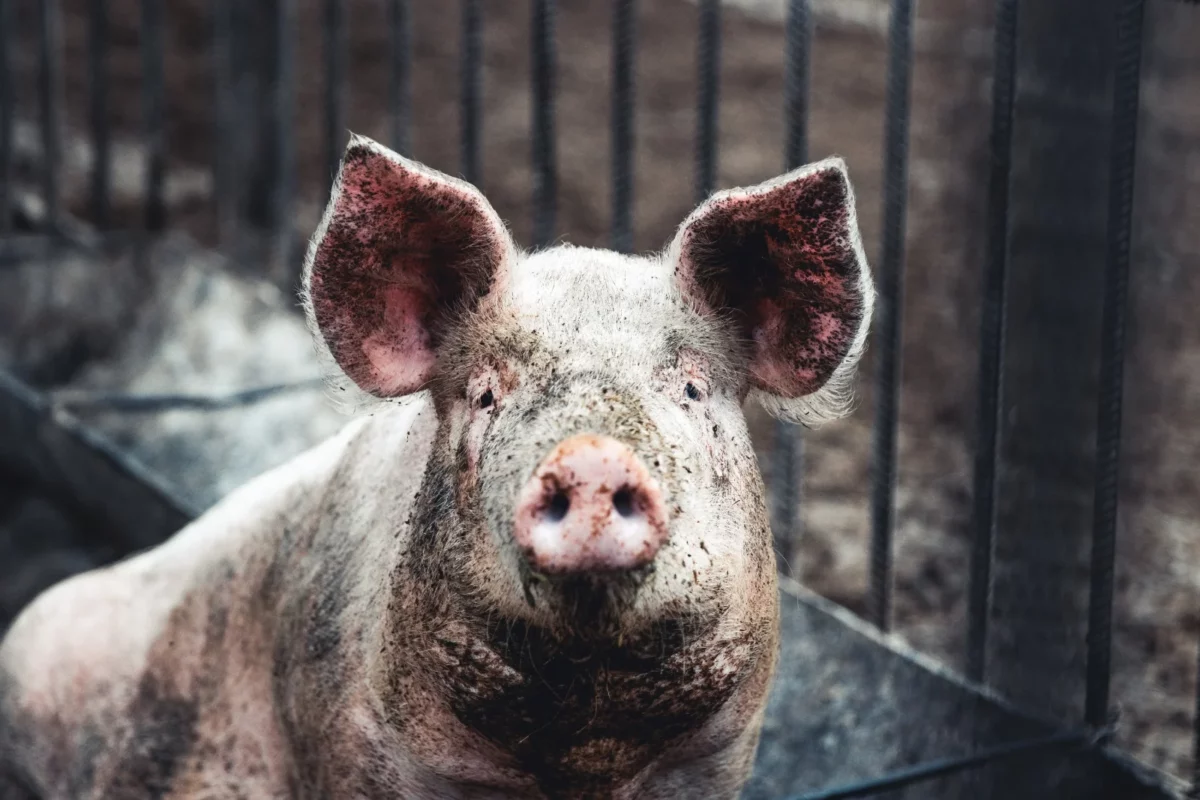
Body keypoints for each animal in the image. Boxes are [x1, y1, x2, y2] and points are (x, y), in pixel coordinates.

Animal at [0, 134, 873, 800]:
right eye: (485, 394)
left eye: (692, 388)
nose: (590, 457)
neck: (583, 749)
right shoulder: (362, 745)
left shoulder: (714, 755)